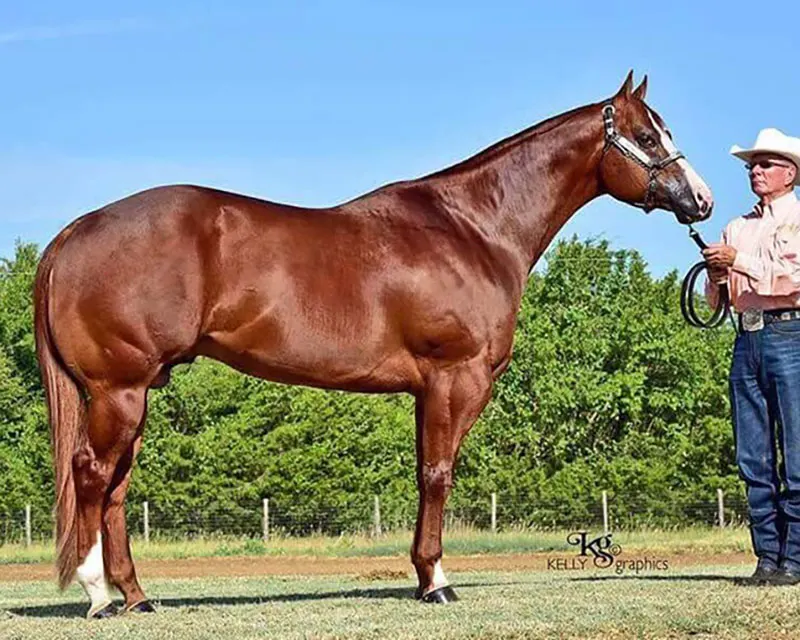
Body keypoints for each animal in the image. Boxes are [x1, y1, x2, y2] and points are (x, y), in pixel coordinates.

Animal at [34, 72, 713, 618]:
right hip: (119, 390)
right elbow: (437, 474)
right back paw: (99, 595)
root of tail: (77, 230)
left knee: (117, 487)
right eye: (648, 137)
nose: (701, 200)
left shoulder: (424, 390)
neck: (473, 230)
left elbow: (423, 473)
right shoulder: (455, 379)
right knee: (91, 474)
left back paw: (138, 596)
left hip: (135, 393)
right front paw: (436, 582)